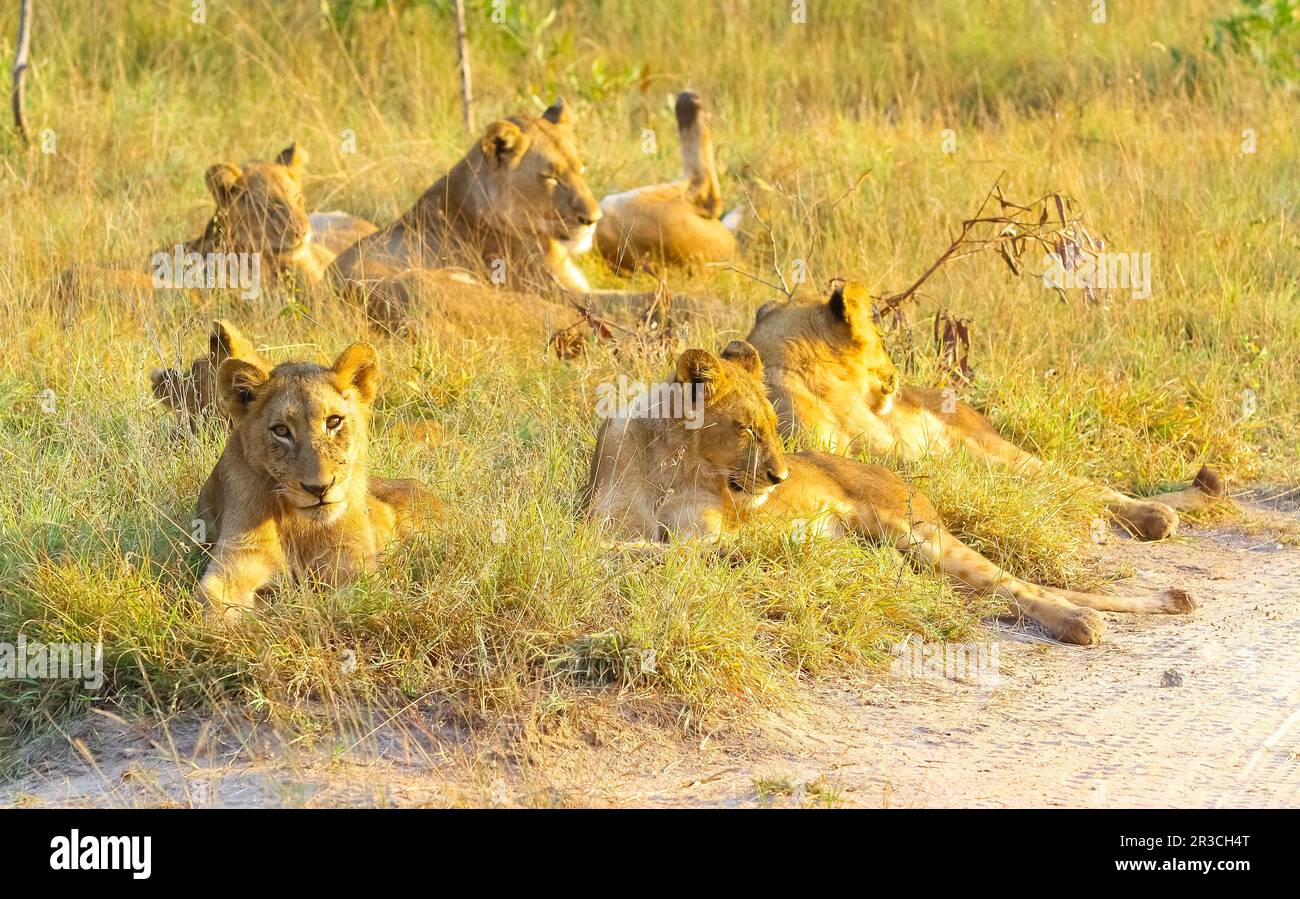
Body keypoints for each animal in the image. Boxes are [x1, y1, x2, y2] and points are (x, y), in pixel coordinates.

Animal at [195, 339, 434, 624]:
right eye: (281, 431)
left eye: (333, 421)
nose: (319, 488)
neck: (299, 523)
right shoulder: (238, 557)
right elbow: (215, 602)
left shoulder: (349, 561)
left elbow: (351, 600)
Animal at [584, 341, 1197, 645]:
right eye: (745, 429)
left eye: (774, 427)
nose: (780, 478)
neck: (671, 468)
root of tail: (914, 489)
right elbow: (618, 544)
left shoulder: (710, 541)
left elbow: (656, 550)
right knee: (984, 593)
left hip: (915, 534)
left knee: (1012, 585)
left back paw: (1084, 623)